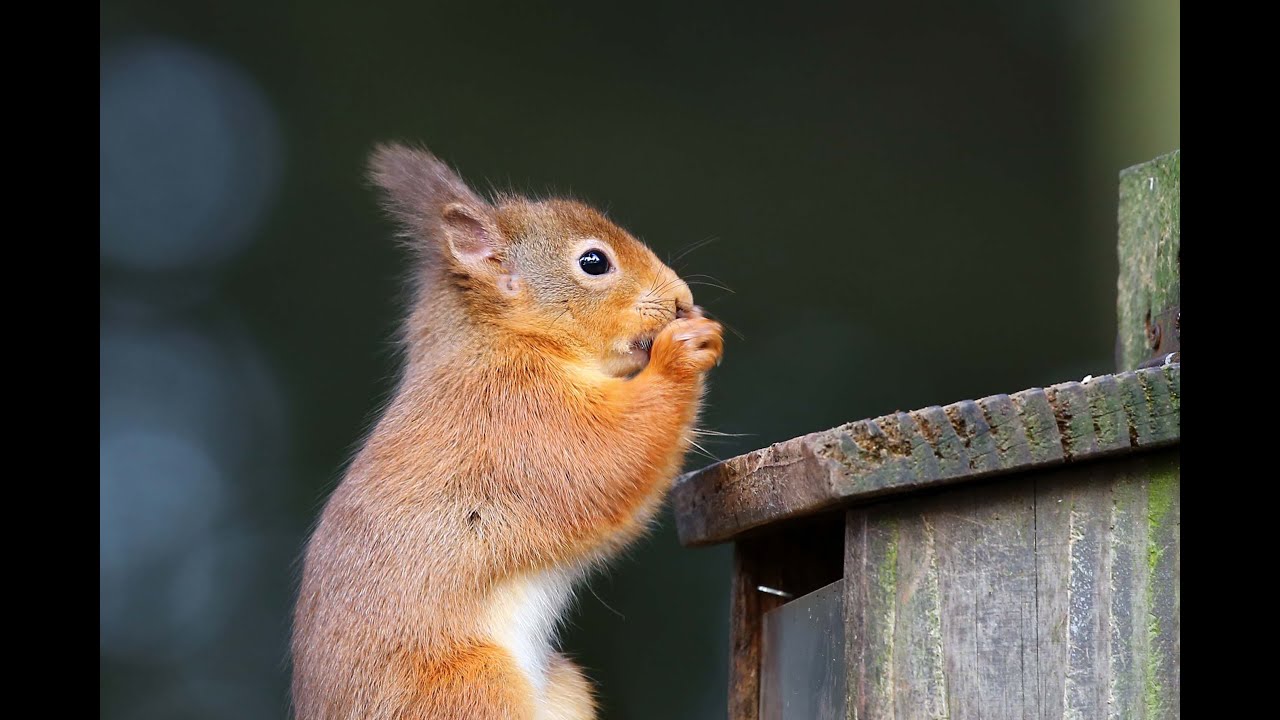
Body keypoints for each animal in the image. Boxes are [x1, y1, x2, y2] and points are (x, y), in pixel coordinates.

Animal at [290, 144, 724, 720]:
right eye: (594, 262)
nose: (682, 298)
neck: (504, 336)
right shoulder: (518, 417)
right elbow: (607, 456)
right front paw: (684, 350)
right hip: (471, 689)